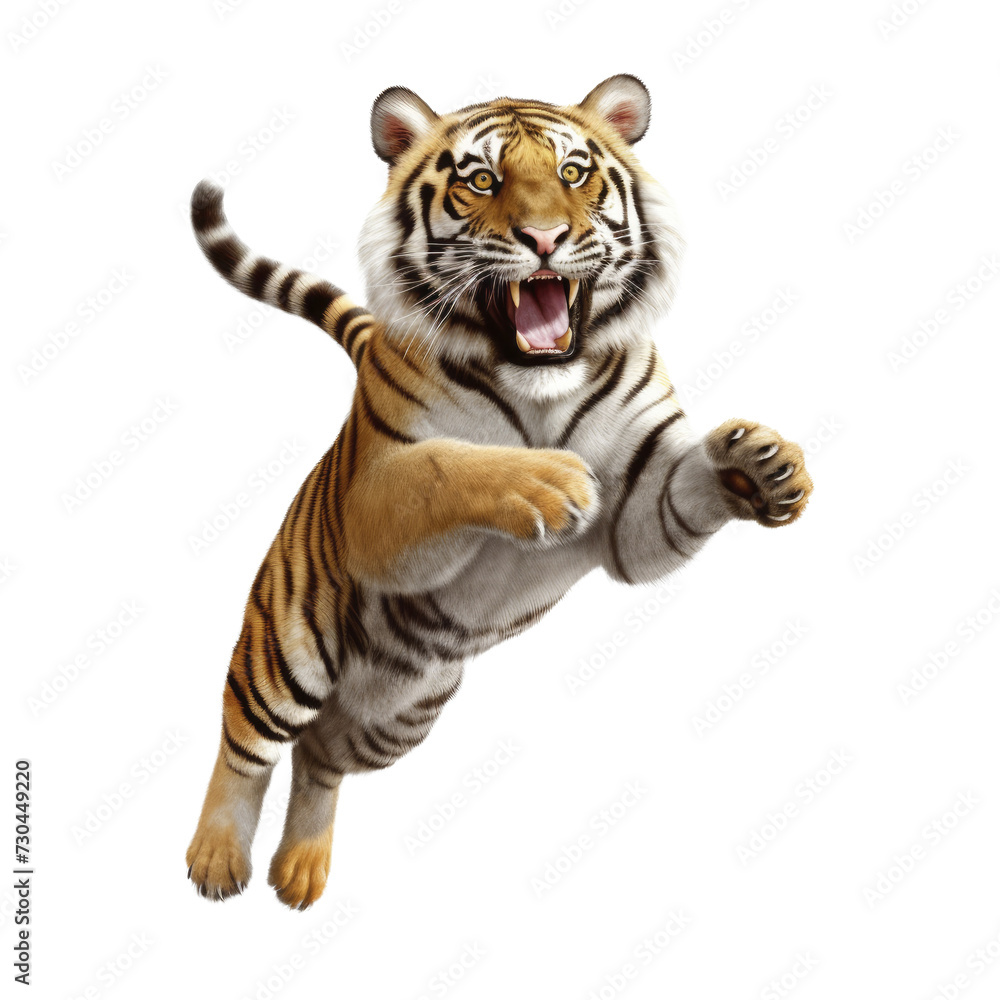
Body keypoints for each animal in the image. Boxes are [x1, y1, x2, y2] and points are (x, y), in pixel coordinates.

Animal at [185, 74, 813, 909]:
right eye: (481, 180)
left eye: (574, 173)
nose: (544, 238)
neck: (538, 383)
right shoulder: (376, 500)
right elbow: (446, 466)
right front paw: (549, 478)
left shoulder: (637, 514)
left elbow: (679, 492)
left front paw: (763, 466)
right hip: (289, 651)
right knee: (246, 740)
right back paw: (216, 859)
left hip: (399, 714)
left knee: (320, 754)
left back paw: (301, 871)